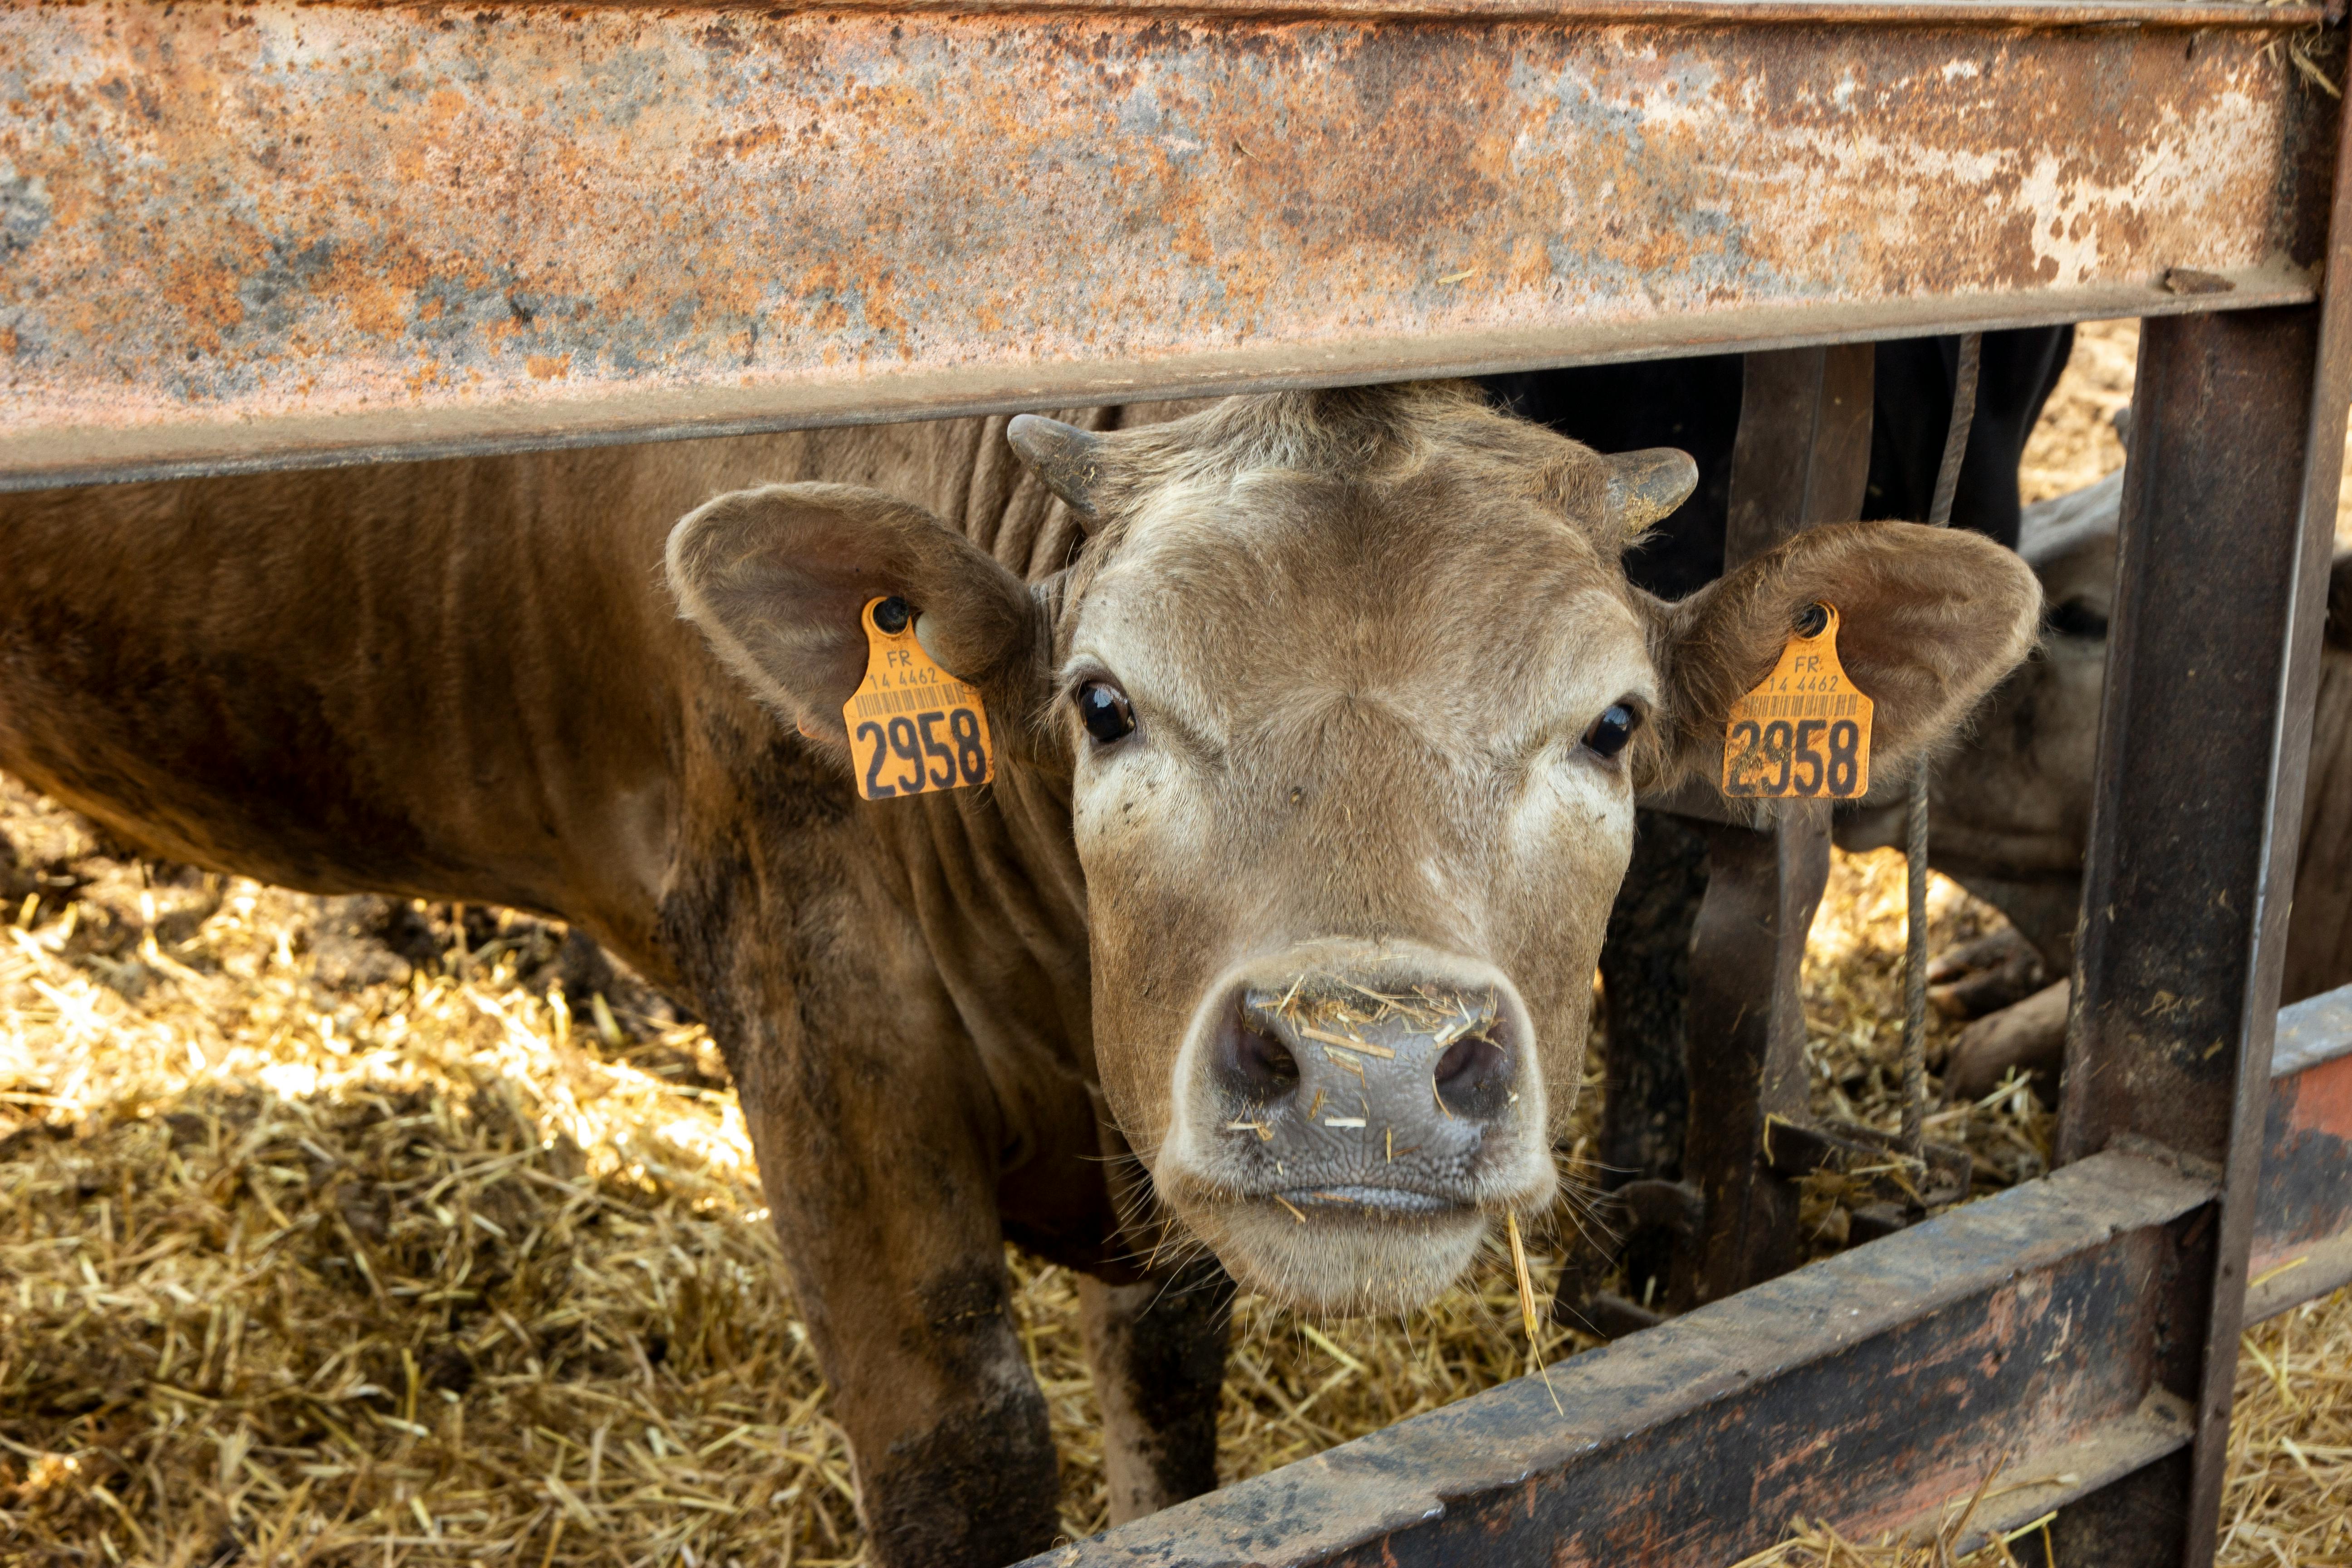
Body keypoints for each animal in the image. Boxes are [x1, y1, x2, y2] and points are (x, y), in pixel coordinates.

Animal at [0, 382, 2041, 1565]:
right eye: (1104, 701)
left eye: (1613, 726)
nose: (1370, 1074)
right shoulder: (814, 983)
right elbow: (963, 1442)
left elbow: (1171, 1385)